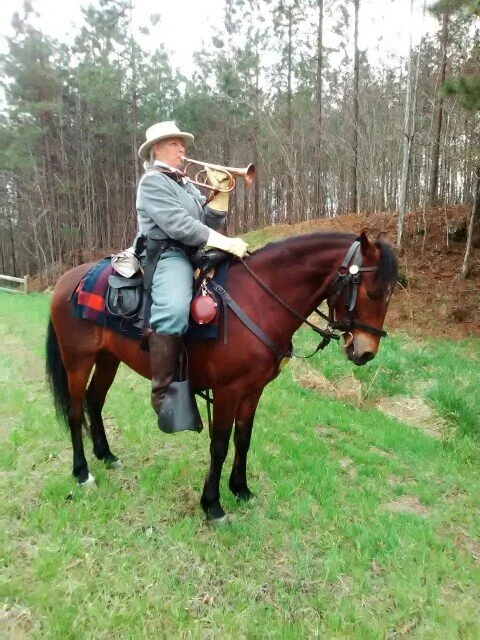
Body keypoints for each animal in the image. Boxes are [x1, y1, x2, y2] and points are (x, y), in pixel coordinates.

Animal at [45, 231, 398, 523]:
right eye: (370, 293)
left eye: (389, 294)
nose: (365, 352)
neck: (258, 302)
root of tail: (68, 280)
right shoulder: (228, 391)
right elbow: (219, 445)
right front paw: (212, 504)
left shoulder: (253, 391)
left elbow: (243, 439)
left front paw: (241, 489)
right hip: (77, 361)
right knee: (75, 412)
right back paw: (82, 472)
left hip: (108, 359)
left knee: (94, 401)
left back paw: (106, 455)